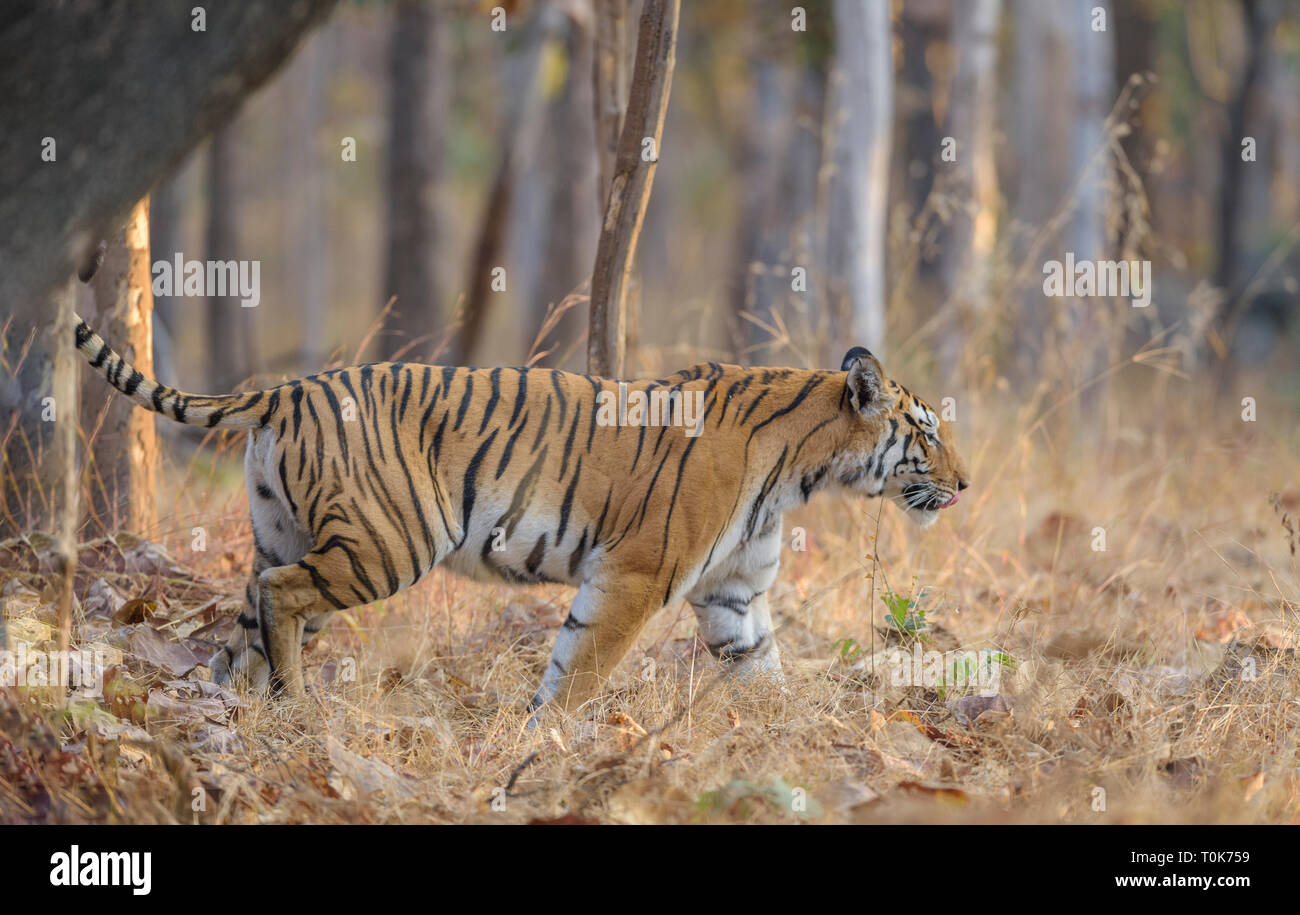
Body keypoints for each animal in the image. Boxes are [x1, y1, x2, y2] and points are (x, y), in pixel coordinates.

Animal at [75, 316, 970, 716]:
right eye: (926, 431)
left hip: (284, 536)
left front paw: (793, 735)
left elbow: (763, 670)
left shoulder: (735, 594)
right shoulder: (637, 573)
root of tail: (286, 389)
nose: (966, 483)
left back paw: (228, 711)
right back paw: (298, 707)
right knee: (283, 598)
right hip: (391, 542)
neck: (802, 471)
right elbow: (581, 663)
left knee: (242, 631)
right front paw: (546, 737)